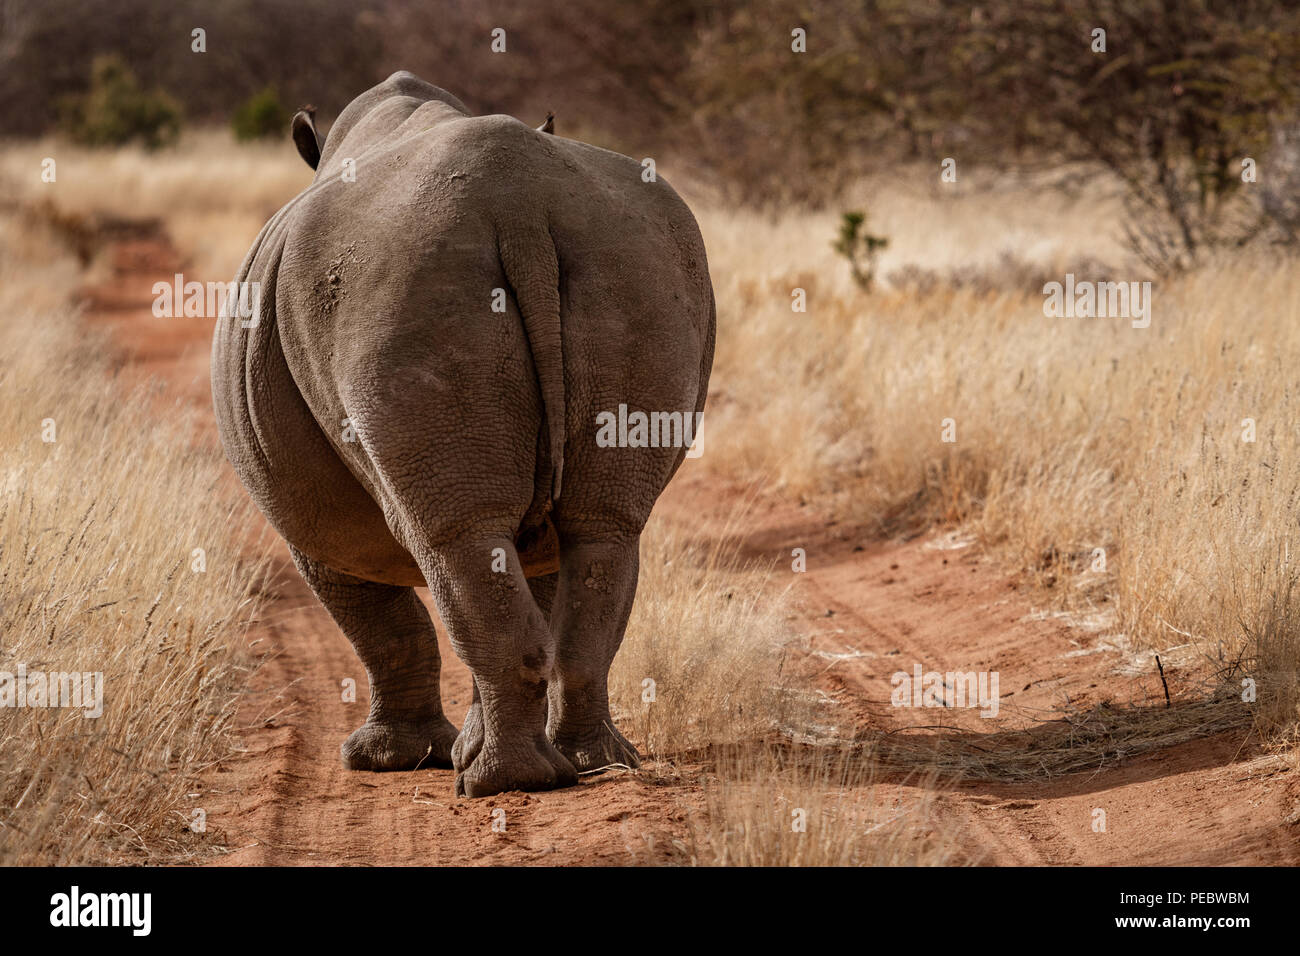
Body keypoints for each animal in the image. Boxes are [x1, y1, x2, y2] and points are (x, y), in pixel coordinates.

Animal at [211, 72, 715, 797]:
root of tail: (519, 202)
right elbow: (523, 584)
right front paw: (446, 751)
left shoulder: (306, 521)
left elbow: (384, 626)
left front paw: (388, 761)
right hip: (635, 264)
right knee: (603, 530)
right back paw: (589, 763)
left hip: (398, 283)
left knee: (452, 542)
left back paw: (499, 783)